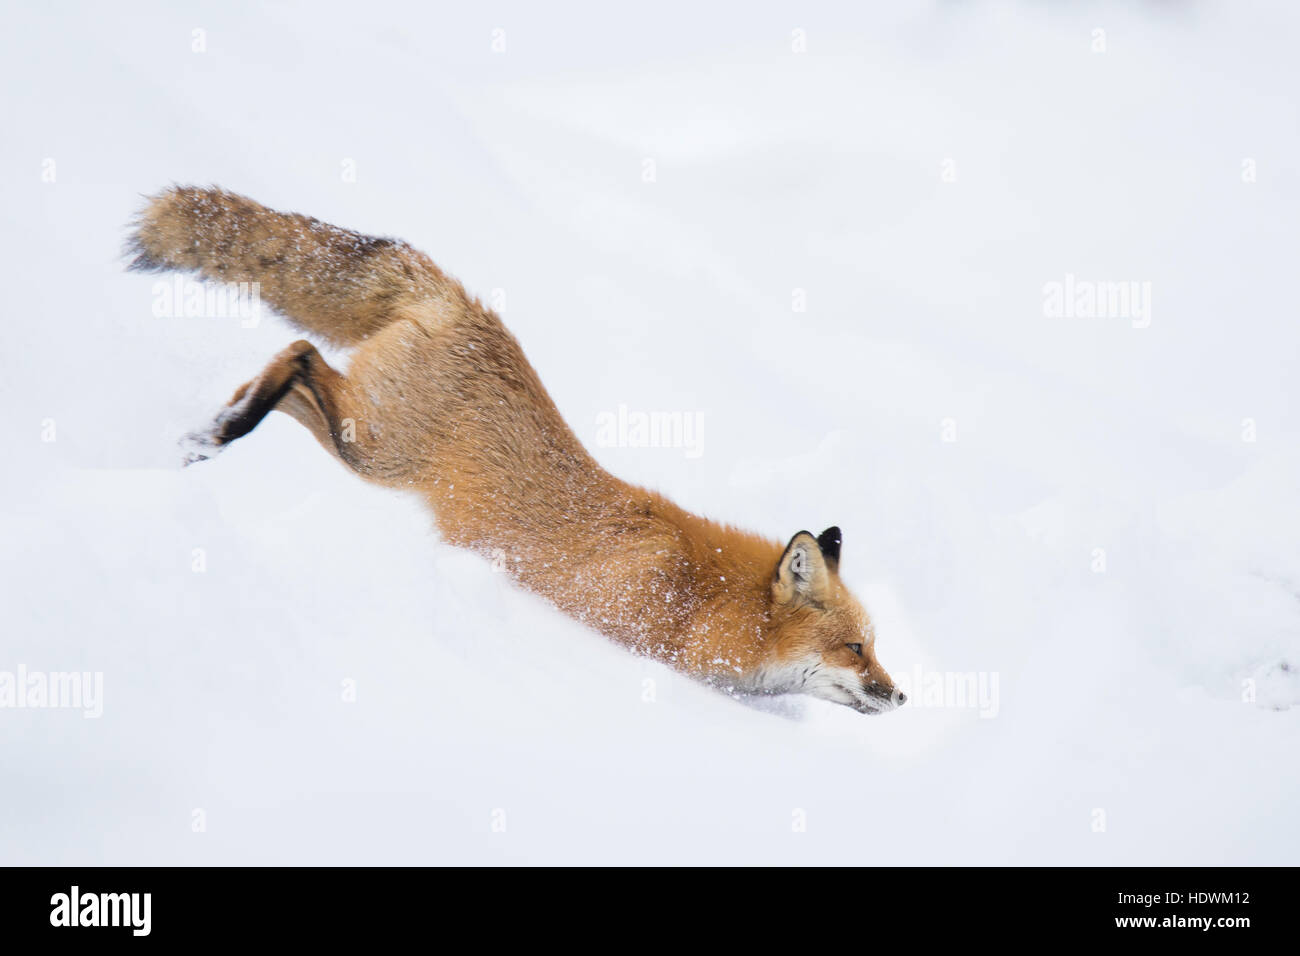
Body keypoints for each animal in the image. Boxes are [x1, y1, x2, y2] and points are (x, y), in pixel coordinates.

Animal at [126, 186, 905, 715]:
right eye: (856, 648)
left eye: (876, 647)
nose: (900, 696)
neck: (703, 597)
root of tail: (470, 307)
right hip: (375, 449)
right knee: (298, 354)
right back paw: (224, 429)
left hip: (367, 447)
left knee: (287, 373)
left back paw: (211, 433)